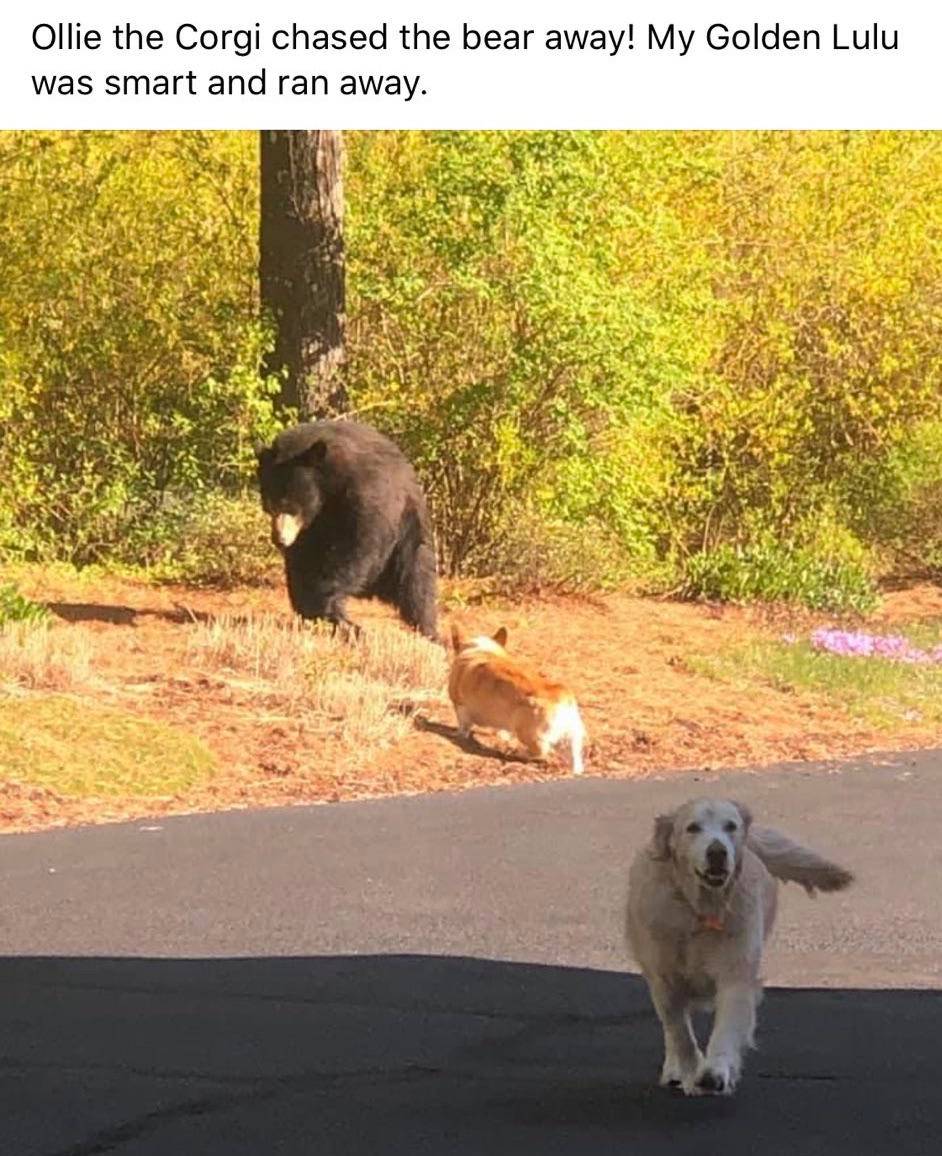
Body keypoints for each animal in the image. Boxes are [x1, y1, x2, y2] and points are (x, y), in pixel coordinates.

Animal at [255, 420, 439, 641]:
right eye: (269, 505)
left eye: (290, 505)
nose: (279, 539)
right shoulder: (309, 530)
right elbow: (303, 560)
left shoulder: (366, 493)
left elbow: (356, 547)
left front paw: (329, 609)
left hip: (408, 529)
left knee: (416, 579)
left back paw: (426, 630)